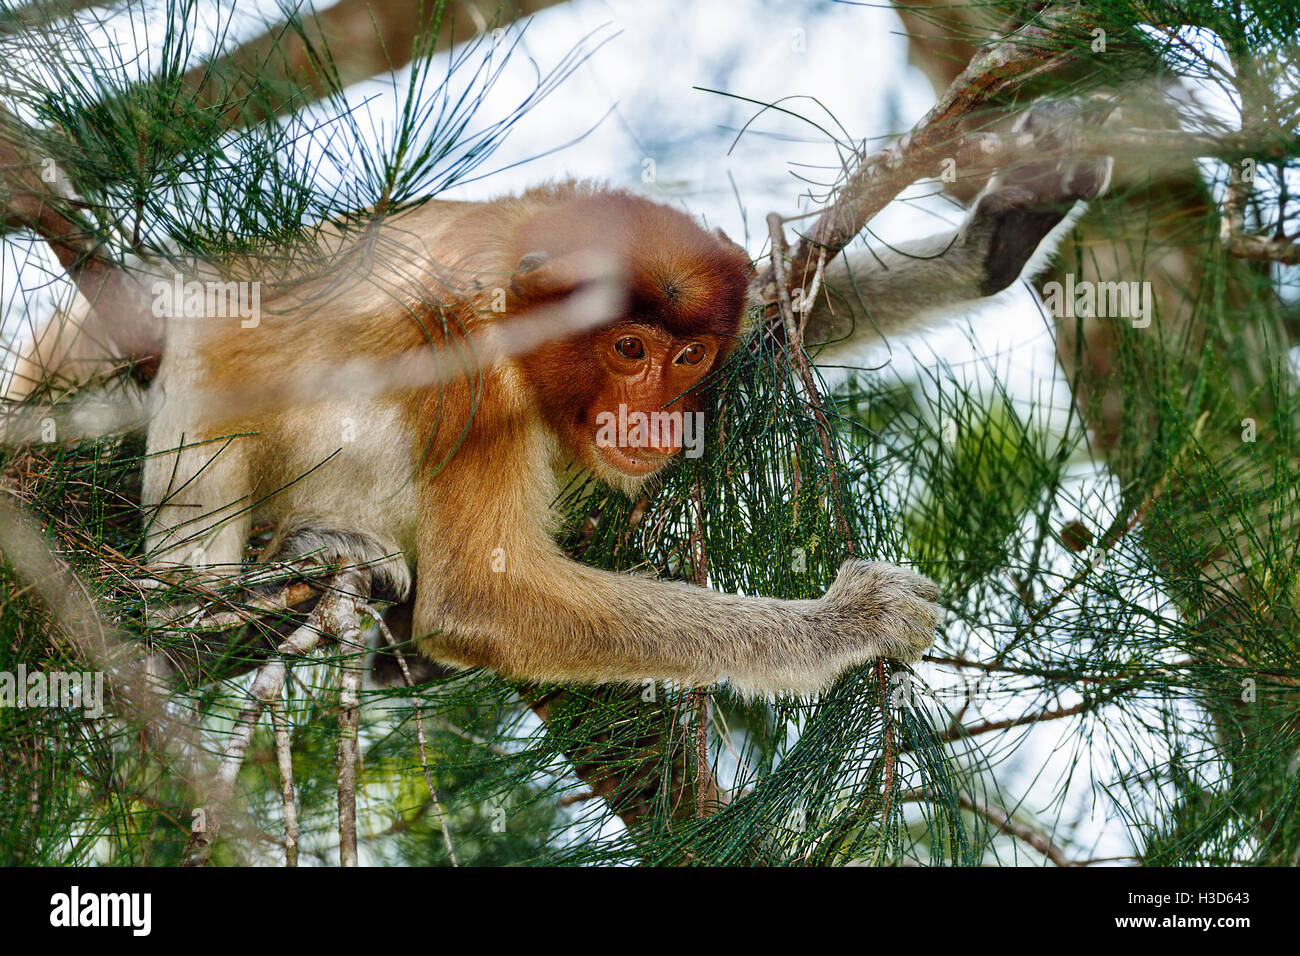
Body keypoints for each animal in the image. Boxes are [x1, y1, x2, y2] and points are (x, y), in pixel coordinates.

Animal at [1, 101, 1110, 698]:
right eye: (626, 349)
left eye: (687, 355)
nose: (653, 419)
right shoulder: (470, 352)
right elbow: (484, 597)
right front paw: (847, 622)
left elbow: (786, 303)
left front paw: (997, 234)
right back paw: (239, 586)